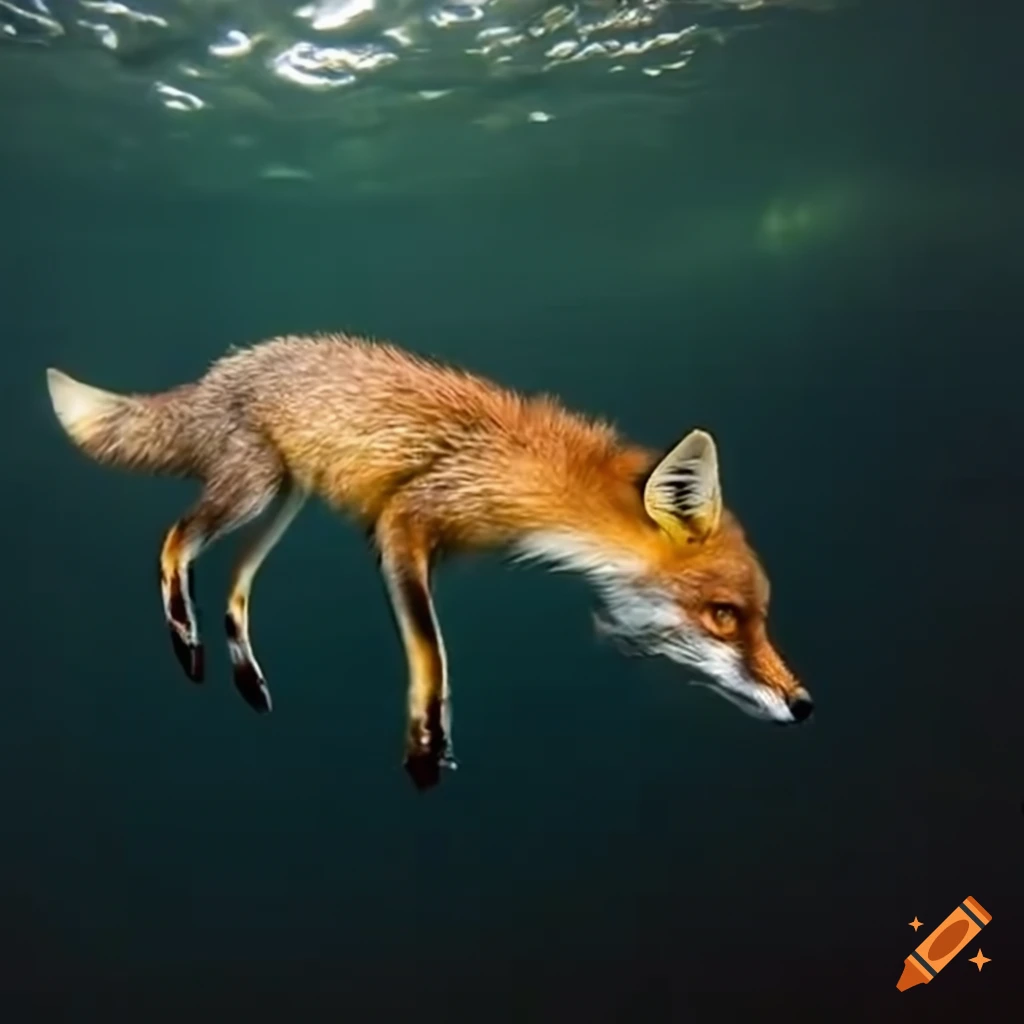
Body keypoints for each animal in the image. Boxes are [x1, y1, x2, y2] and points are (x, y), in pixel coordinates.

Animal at [45, 332, 812, 789]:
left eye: (760, 617)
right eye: (723, 616)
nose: (804, 705)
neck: (532, 477)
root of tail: (224, 369)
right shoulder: (407, 520)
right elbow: (431, 650)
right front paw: (425, 741)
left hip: (282, 500)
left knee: (235, 580)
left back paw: (247, 678)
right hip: (253, 489)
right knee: (173, 544)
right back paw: (186, 641)